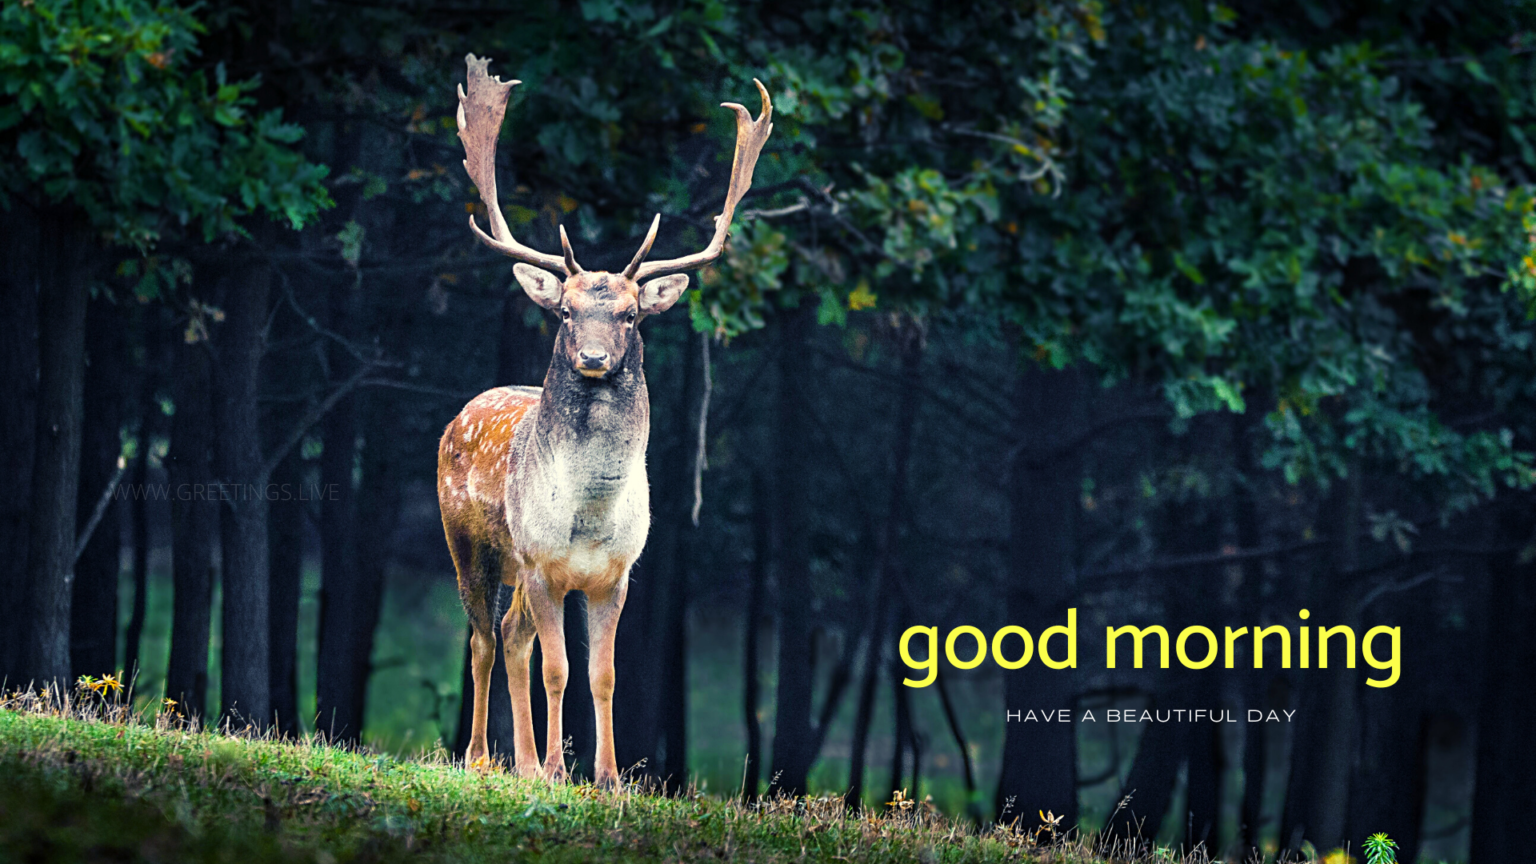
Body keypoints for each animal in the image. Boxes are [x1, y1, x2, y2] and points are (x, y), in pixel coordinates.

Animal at [438, 54, 772, 787]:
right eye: (565, 310)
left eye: (630, 314)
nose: (592, 357)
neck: (588, 515)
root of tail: (460, 415)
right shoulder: (541, 563)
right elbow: (558, 670)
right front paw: (558, 770)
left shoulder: (615, 575)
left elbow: (603, 674)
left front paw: (608, 776)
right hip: (469, 544)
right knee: (481, 638)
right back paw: (482, 758)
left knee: (510, 638)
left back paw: (521, 762)